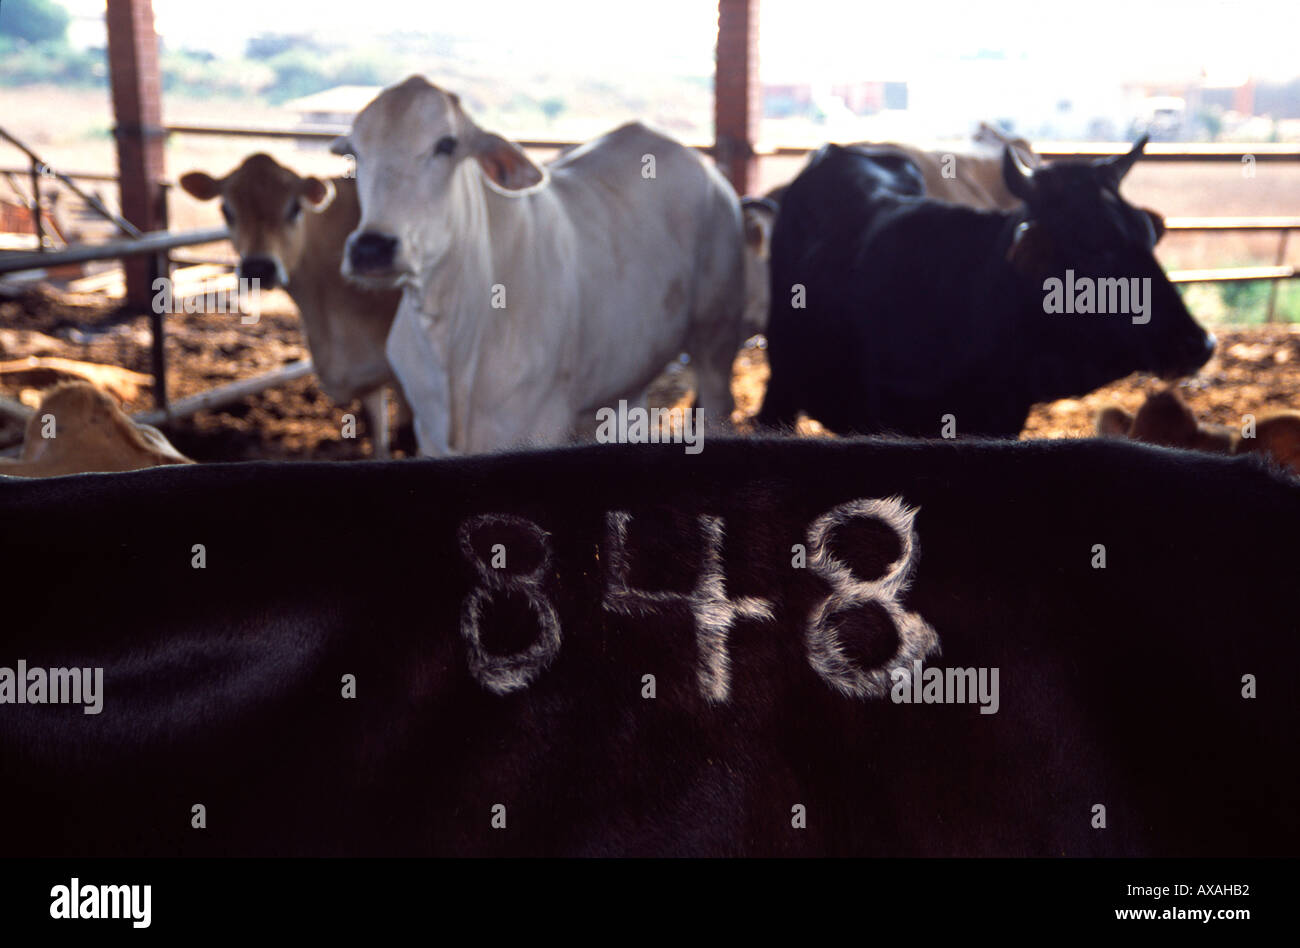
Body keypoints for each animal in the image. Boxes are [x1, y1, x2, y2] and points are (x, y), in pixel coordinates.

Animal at [332, 75, 746, 456]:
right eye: (354, 151)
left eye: (446, 144)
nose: (371, 247)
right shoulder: (428, 433)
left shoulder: (539, 423)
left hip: (717, 338)